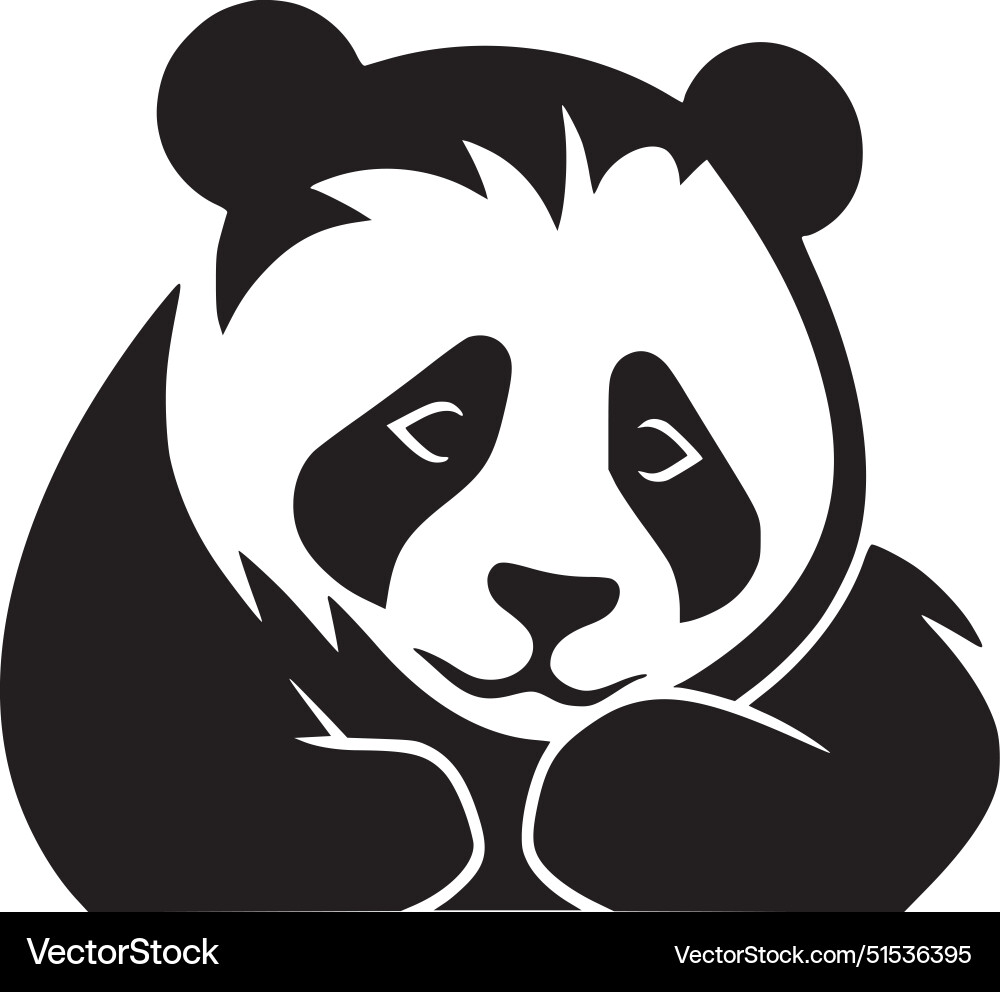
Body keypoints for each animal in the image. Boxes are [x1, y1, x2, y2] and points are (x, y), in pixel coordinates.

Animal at [1, 1, 996, 911]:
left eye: (659, 448)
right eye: (433, 426)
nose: (553, 597)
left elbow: (914, 724)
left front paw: (609, 785)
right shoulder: (142, 537)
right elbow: (143, 757)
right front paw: (426, 813)